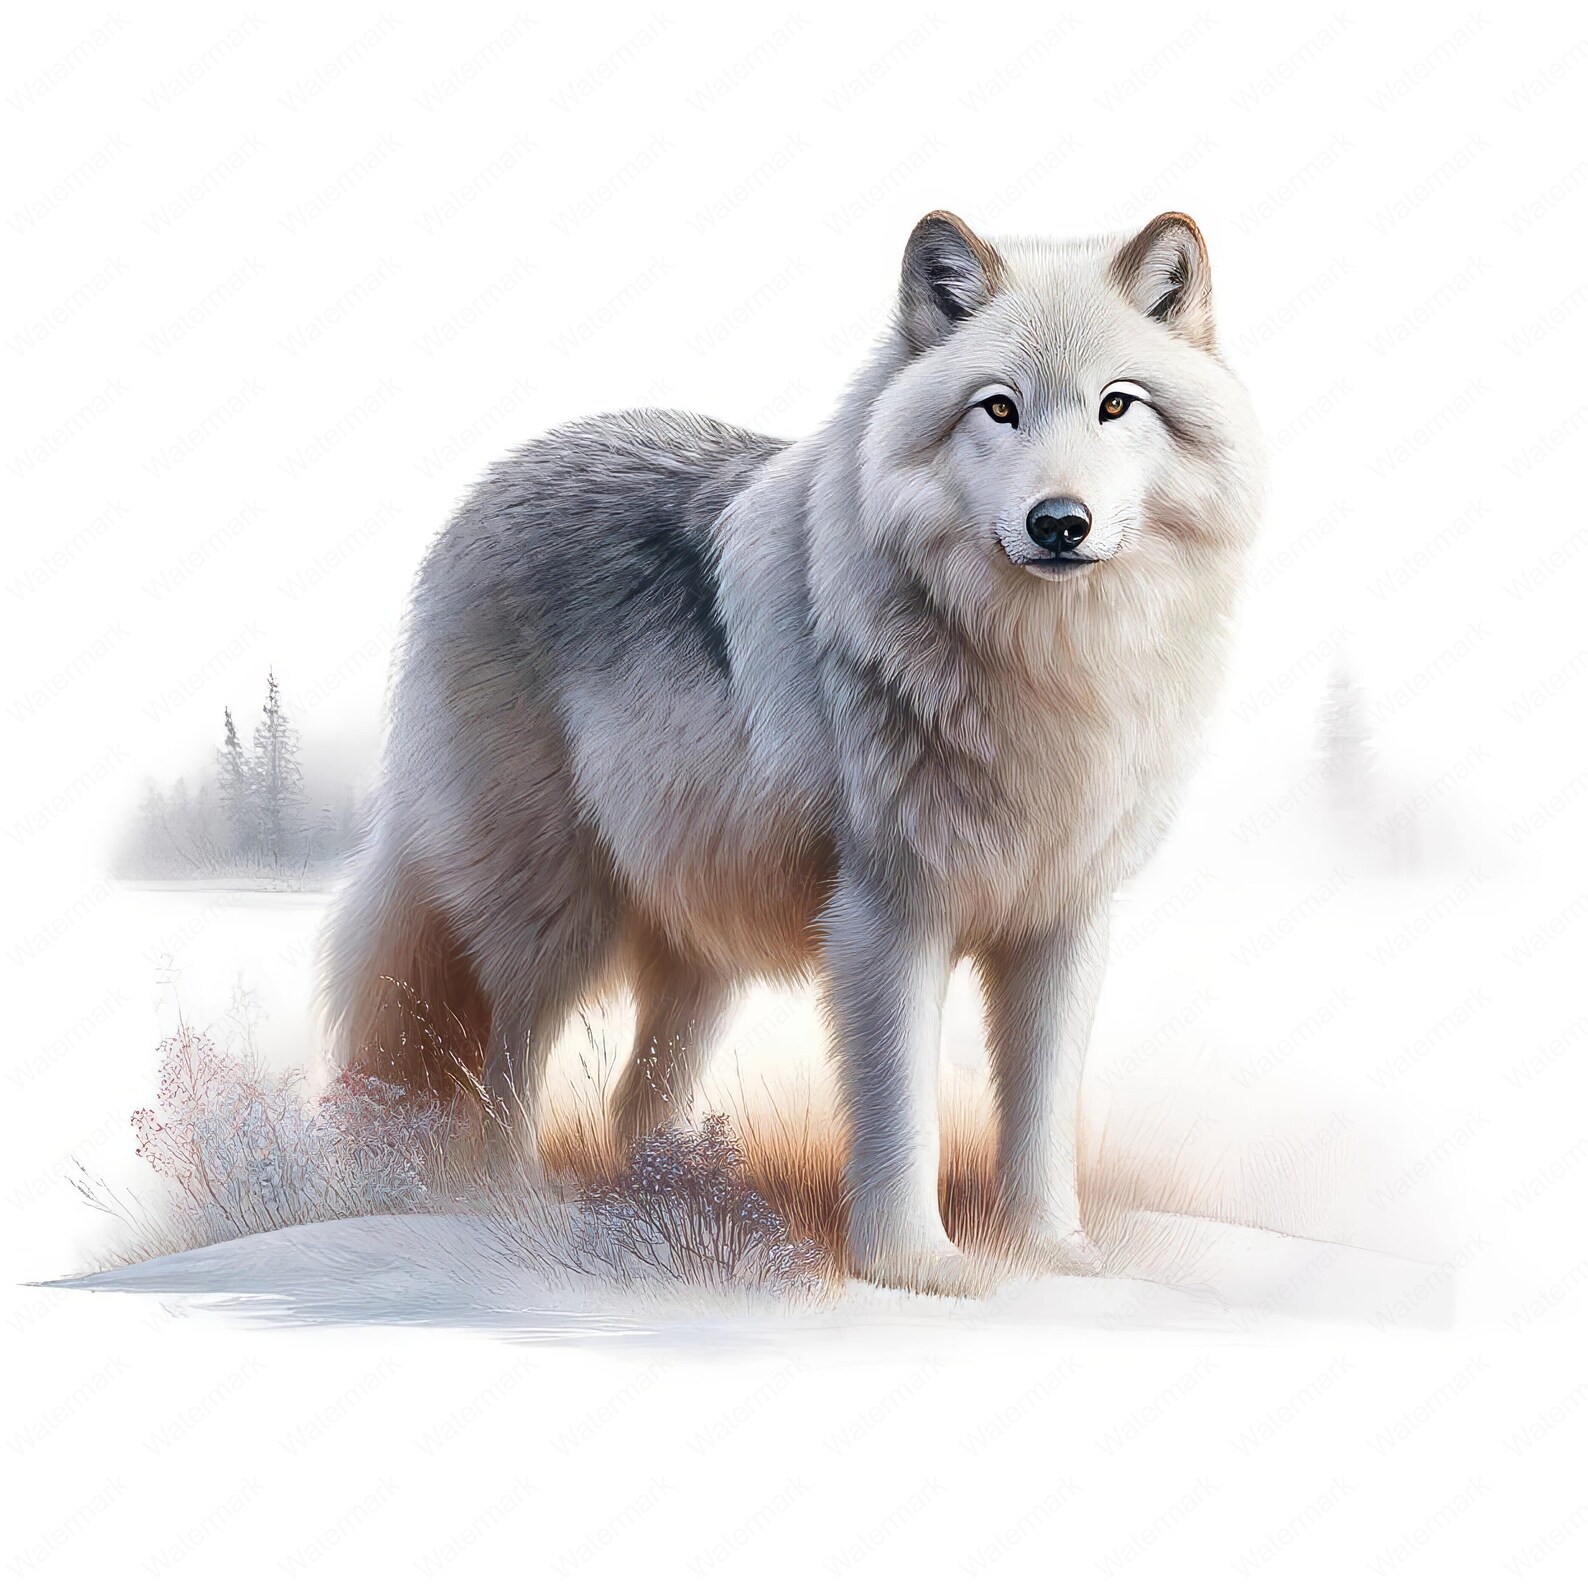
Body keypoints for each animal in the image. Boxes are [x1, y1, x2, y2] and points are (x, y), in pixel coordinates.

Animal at [322, 210, 1265, 1292]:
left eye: (1117, 405)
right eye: (999, 409)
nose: (1059, 523)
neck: (1045, 666)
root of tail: (496, 480)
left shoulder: (1062, 922)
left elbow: (1039, 1115)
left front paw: (1052, 1252)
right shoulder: (885, 918)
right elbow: (901, 1112)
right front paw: (915, 1266)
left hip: (698, 957)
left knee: (632, 1103)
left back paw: (673, 1206)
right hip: (558, 917)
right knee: (510, 1066)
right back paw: (514, 1205)